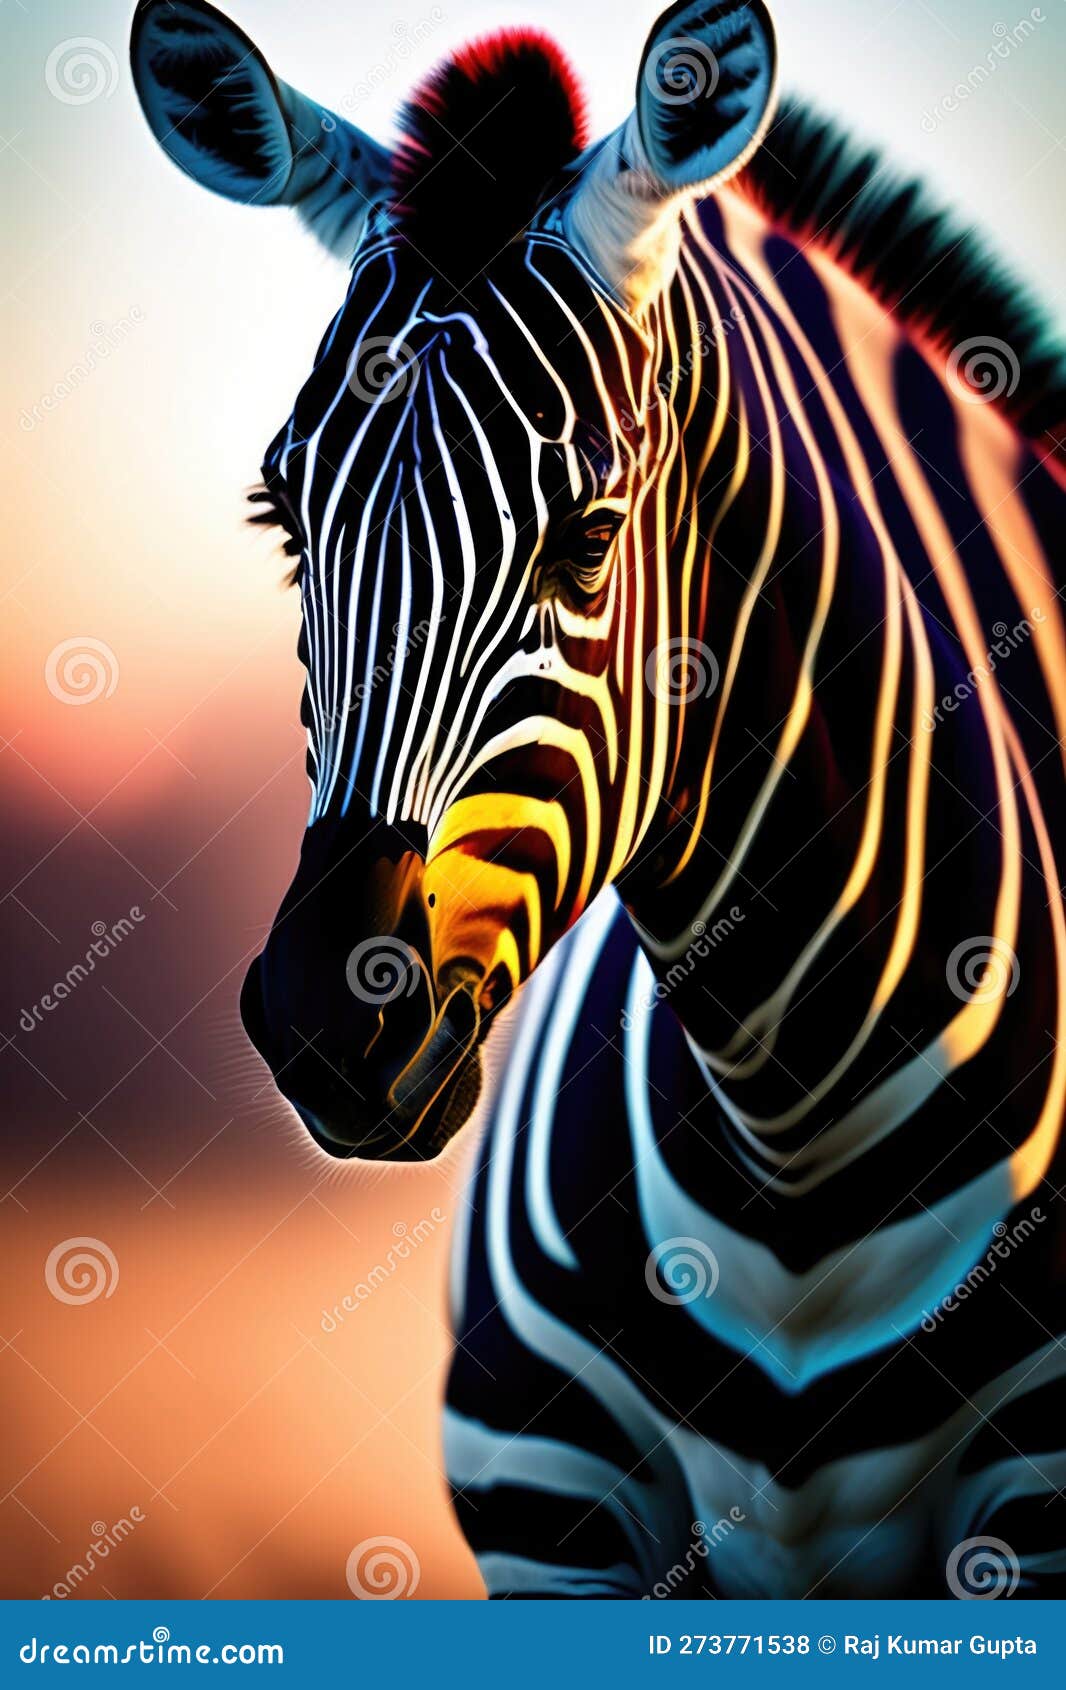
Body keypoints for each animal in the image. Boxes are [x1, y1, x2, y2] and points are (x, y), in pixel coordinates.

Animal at [131, 0, 1066, 1598]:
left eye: (589, 538)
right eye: (282, 521)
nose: (327, 1023)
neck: (791, 1133)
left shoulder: (1037, 1501)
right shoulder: (545, 1511)